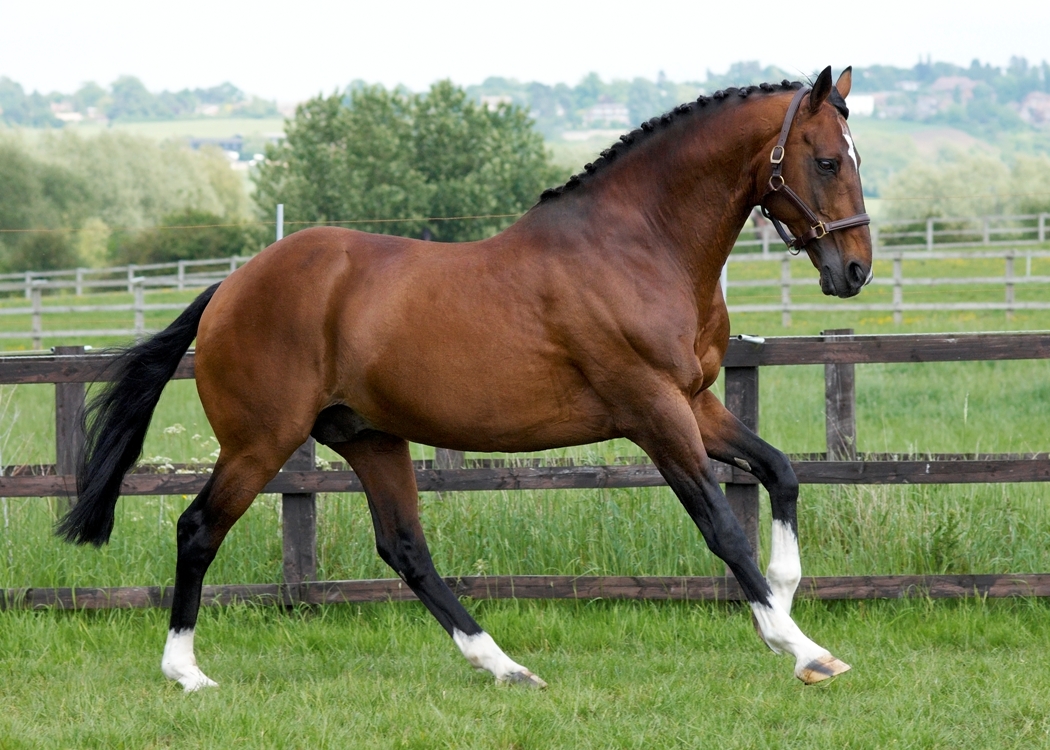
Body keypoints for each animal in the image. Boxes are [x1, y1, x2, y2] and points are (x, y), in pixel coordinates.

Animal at [58, 66, 872, 691]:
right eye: (828, 161)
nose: (855, 270)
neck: (638, 246)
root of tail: (231, 286)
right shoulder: (653, 412)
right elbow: (721, 526)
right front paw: (803, 649)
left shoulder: (695, 404)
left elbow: (781, 471)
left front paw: (788, 595)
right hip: (260, 442)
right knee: (198, 529)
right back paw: (185, 673)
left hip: (369, 437)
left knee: (406, 550)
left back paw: (505, 667)